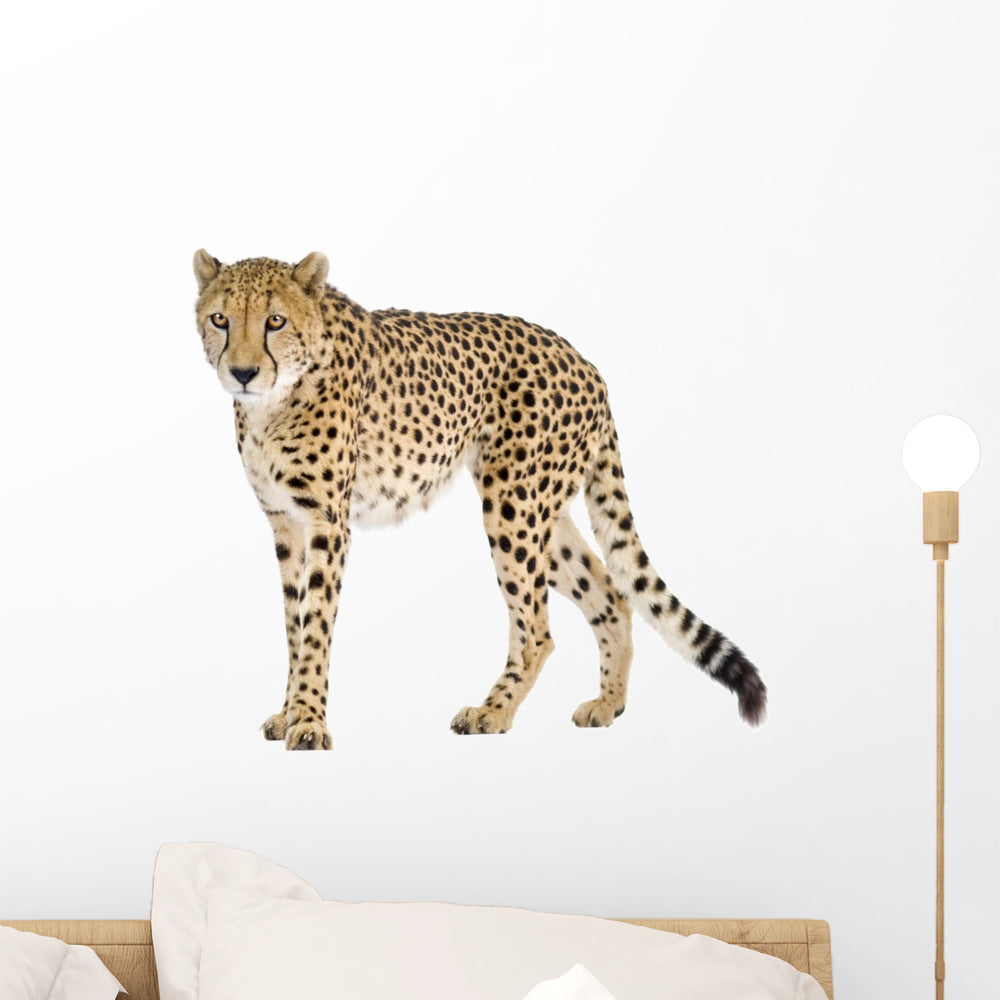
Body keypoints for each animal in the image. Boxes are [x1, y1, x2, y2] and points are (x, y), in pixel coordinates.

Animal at [193, 250, 767, 749]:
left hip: (512, 506)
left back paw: (492, 712)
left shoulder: (327, 521)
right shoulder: (285, 522)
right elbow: (294, 624)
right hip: (541, 512)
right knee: (611, 593)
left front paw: (309, 724)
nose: (242, 373)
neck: (273, 402)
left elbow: (314, 627)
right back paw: (607, 705)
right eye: (220, 319)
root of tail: (584, 362)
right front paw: (289, 712)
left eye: (275, 321)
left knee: (538, 629)